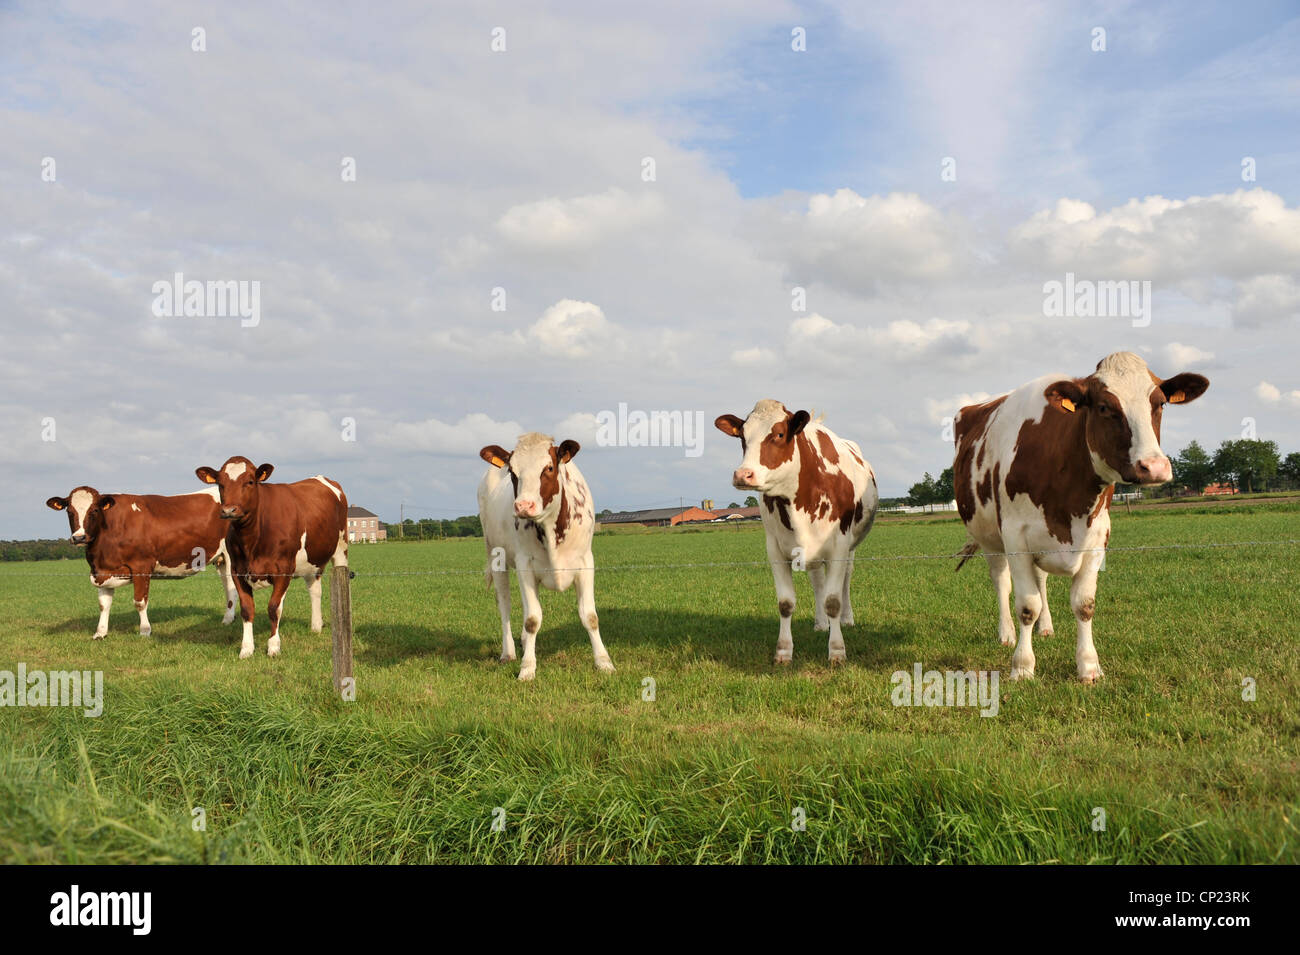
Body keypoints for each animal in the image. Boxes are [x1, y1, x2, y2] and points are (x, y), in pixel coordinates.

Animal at [45, 486, 237, 639]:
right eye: (69, 511)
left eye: (94, 510)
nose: (79, 537)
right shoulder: (102, 570)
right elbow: (103, 604)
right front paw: (100, 633)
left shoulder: (141, 566)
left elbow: (139, 602)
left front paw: (145, 630)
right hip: (220, 559)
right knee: (228, 588)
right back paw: (228, 619)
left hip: (230, 557)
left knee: (232, 588)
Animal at [195, 457, 348, 659]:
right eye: (220, 484)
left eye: (250, 481)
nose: (229, 510)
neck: (252, 540)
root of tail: (321, 478)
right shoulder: (237, 571)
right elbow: (247, 609)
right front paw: (246, 648)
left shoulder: (283, 571)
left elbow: (274, 608)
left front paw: (273, 647)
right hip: (311, 561)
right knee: (315, 590)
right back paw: (316, 626)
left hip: (341, 548)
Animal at [477, 433, 613, 681]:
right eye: (512, 471)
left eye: (549, 467)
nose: (523, 505)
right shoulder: (524, 563)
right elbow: (532, 620)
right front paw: (527, 667)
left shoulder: (585, 562)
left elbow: (590, 616)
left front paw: (603, 662)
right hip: (496, 556)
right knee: (505, 604)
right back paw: (508, 652)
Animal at [714, 401, 879, 665]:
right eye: (742, 437)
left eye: (780, 434)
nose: (742, 475)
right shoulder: (774, 548)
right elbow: (786, 603)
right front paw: (783, 651)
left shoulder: (839, 546)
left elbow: (833, 601)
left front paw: (837, 651)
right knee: (817, 580)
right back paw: (821, 624)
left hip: (851, 548)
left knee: (846, 579)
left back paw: (846, 619)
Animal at [953, 351, 1209, 683]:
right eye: (1103, 407)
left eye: (1160, 404)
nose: (1154, 467)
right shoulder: (1015, 537)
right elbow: (1026, 605)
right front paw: (1022, 666)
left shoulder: (1098, 537)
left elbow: (1084, 605)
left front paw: (1088, 666)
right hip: (989, 538)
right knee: (1001, 581)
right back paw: (1006, 634)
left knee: (1042, 580)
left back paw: (1046, 628)